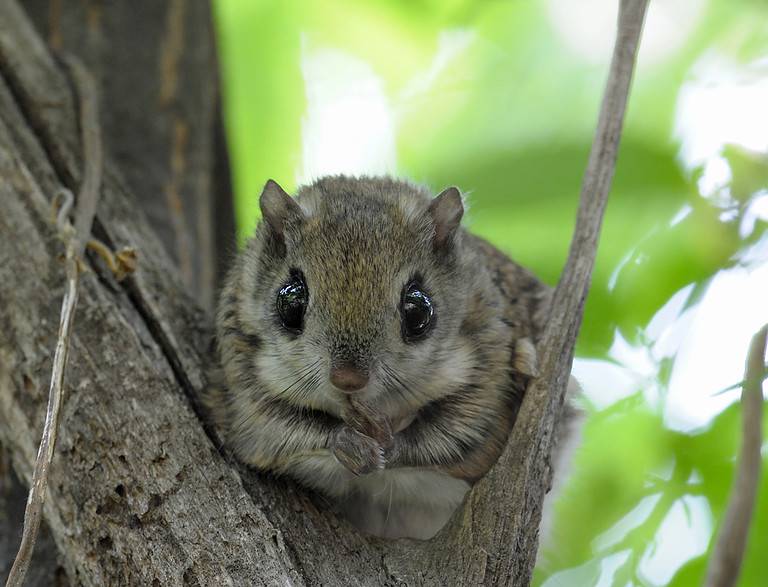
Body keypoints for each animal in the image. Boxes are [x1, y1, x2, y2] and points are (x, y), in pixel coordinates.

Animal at [204, 175, 553, 539]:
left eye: (418, 309)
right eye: (290, 301)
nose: (347, 380)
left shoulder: (488, 367)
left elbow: (459, 429)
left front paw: (391, 445)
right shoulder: (242, 383)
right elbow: (274, 428)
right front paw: (347, 441)